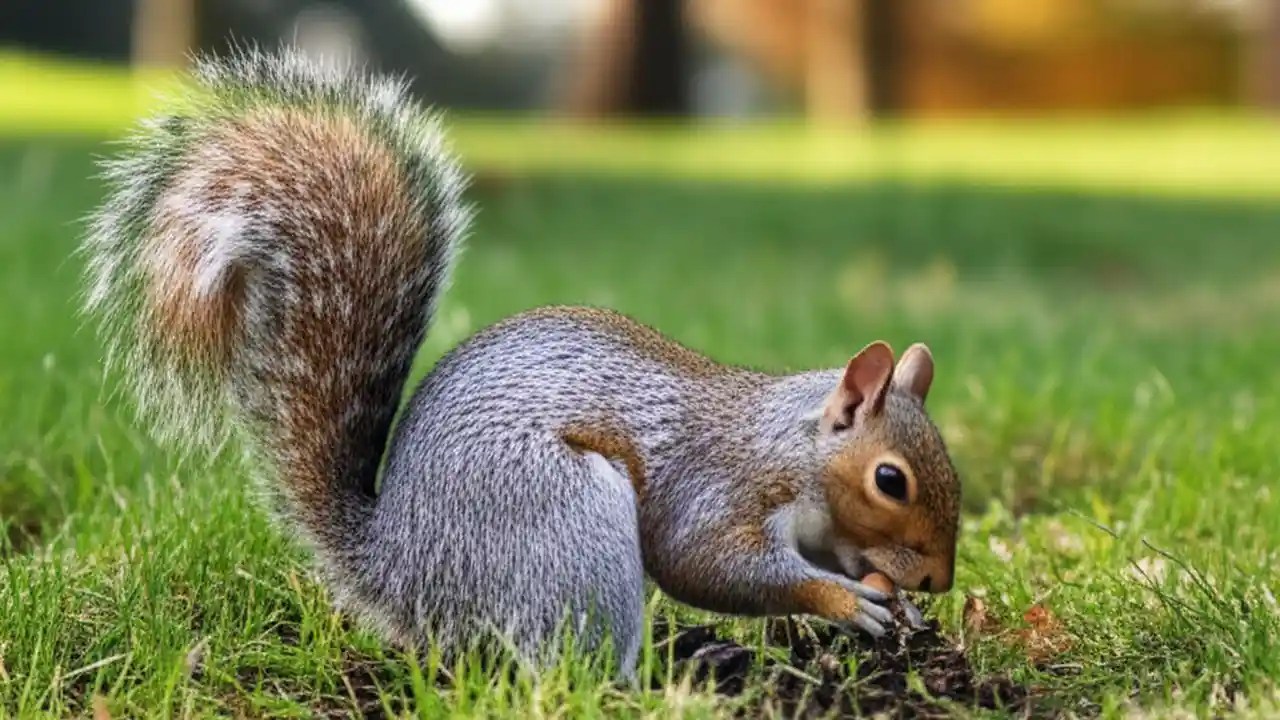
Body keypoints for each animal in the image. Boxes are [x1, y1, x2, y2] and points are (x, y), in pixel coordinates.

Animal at [81, 47, 961, 677]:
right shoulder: (722, 487)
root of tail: (402, 571)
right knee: (569, 669)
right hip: (562, 526)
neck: (794, 452)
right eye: (890, 480)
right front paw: (845, 603)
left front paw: (896, 607)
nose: (939, 583)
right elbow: (707, 563)